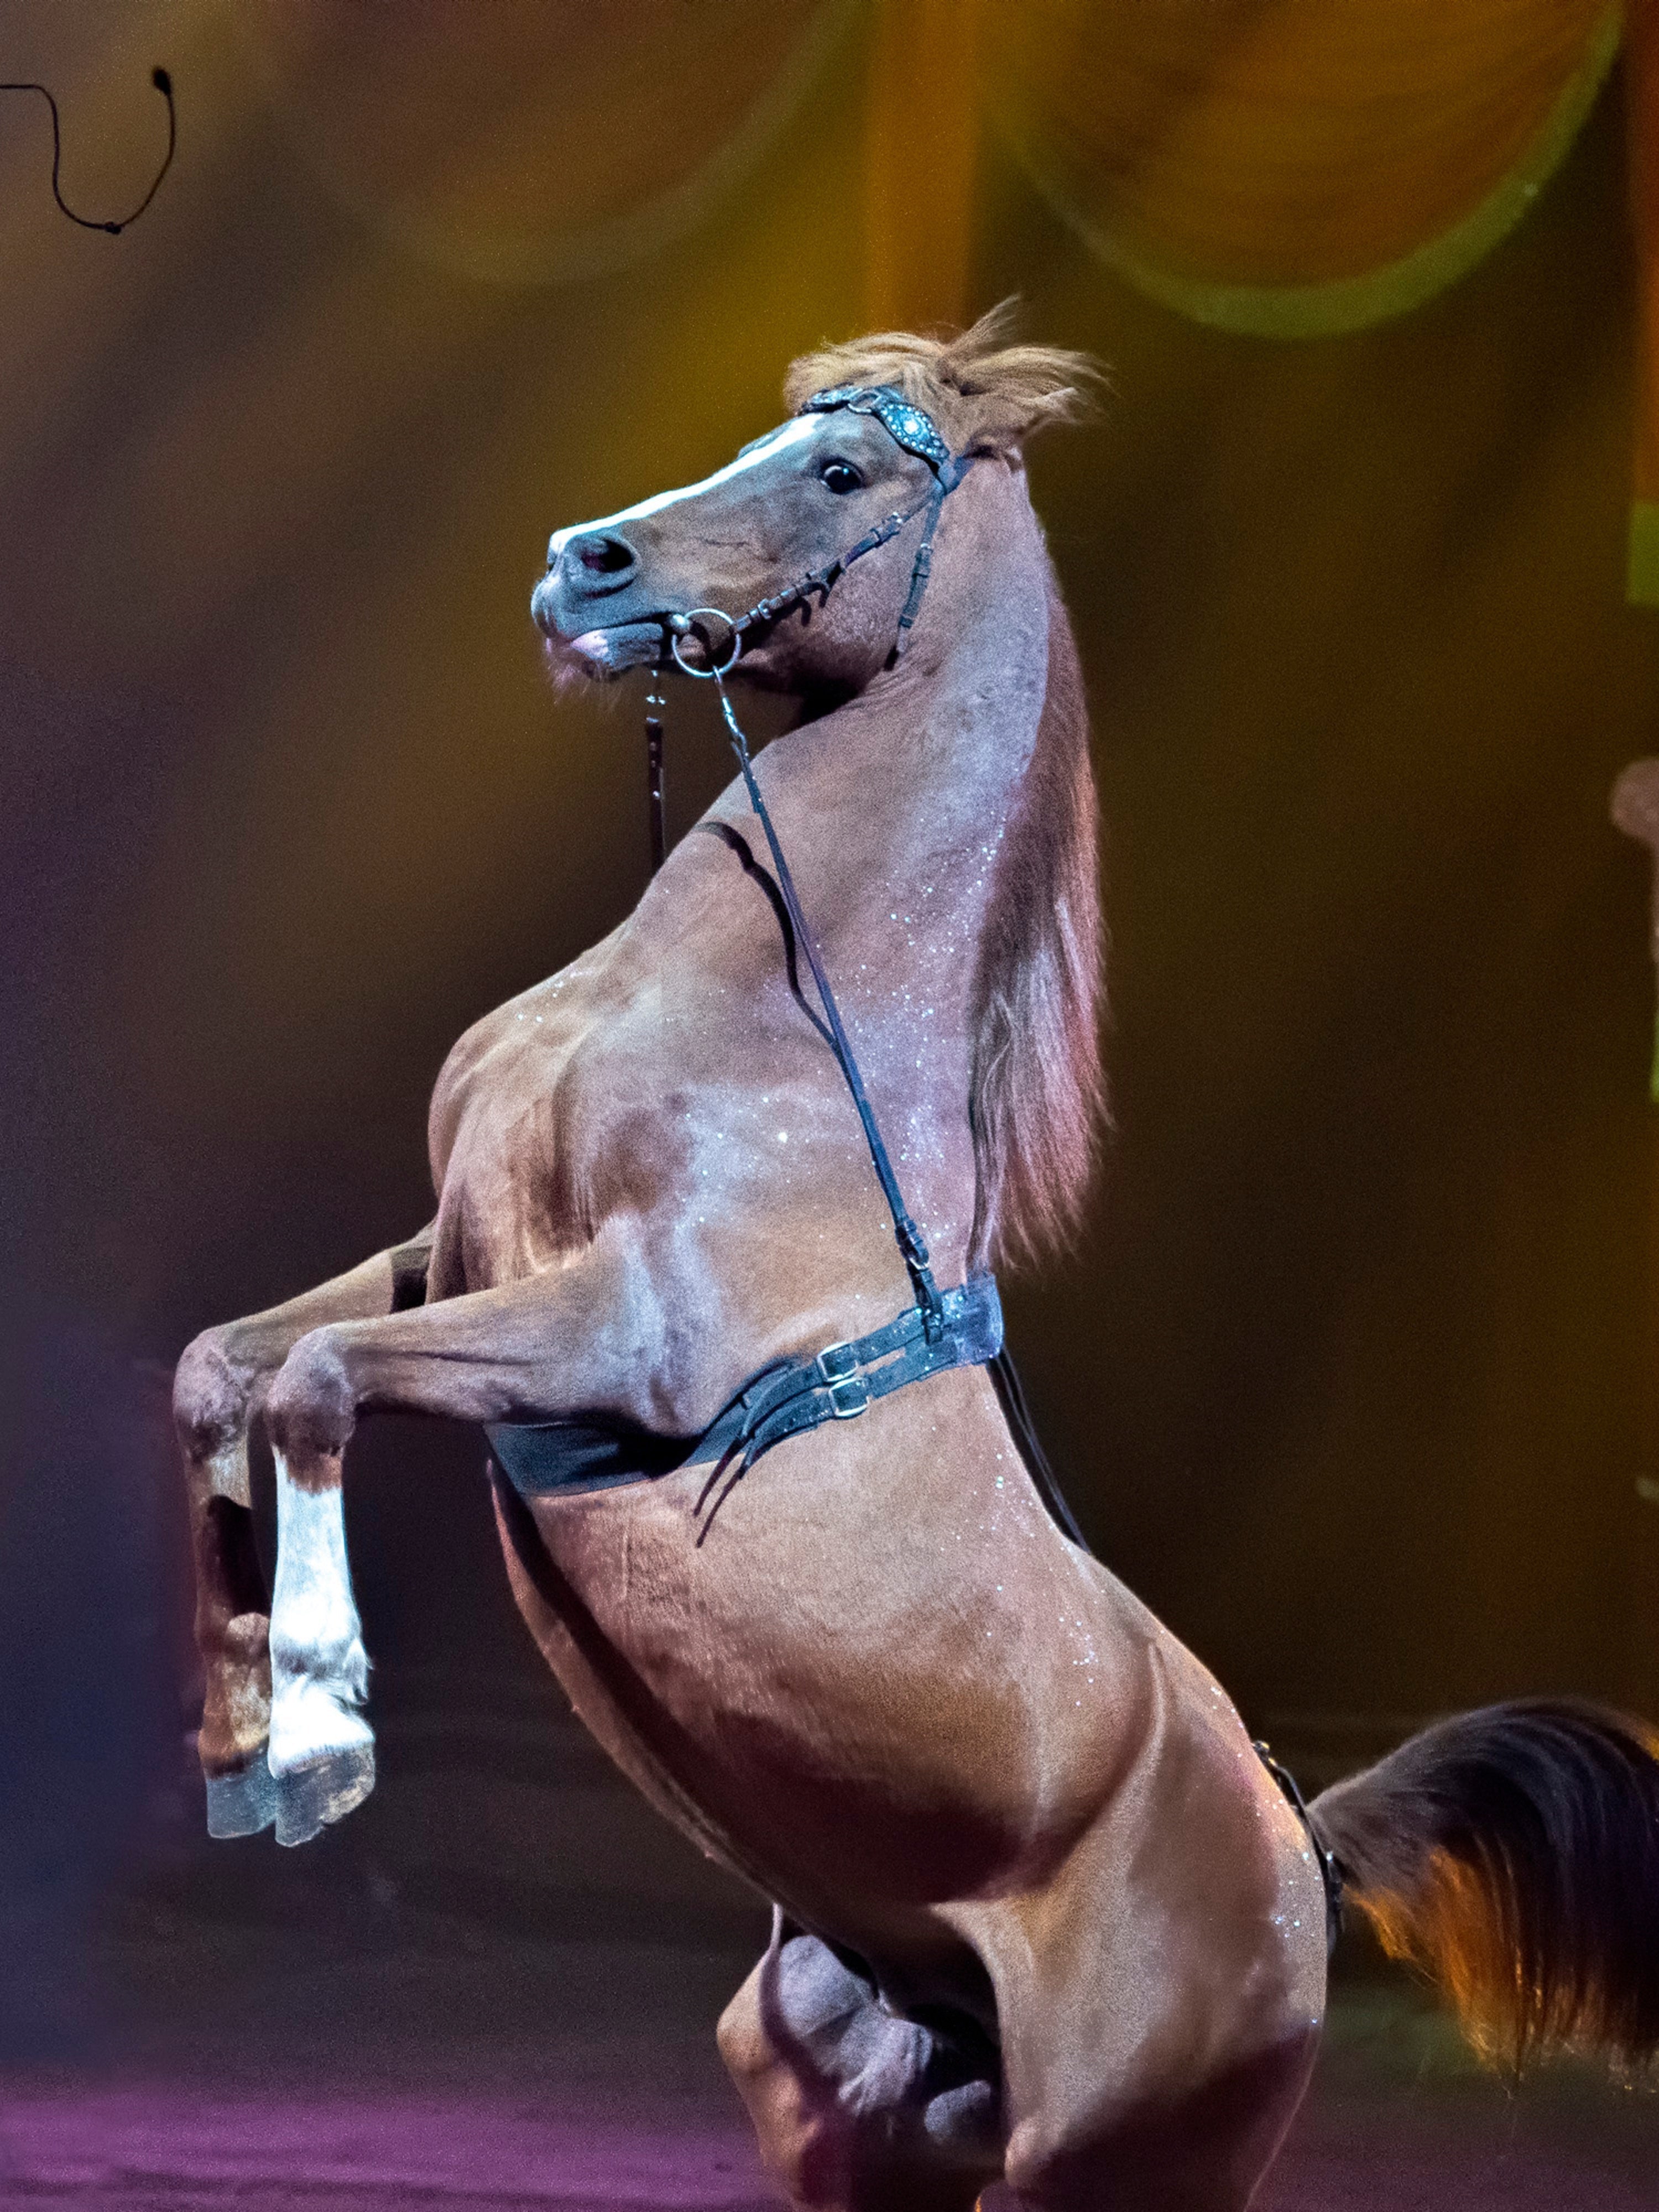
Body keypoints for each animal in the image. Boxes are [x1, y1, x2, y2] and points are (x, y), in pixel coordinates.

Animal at [172, 309, 1659, 2210]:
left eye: (838, 470)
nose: (586, 564)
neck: (778, 1019)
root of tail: (1301, 1860)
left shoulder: (626, 1334)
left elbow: (309, 1383)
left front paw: (323, 1730)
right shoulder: (448, 1254)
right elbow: (227, 1365)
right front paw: (236, 1741)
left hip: (1118, 2167)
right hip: (842, 2115)